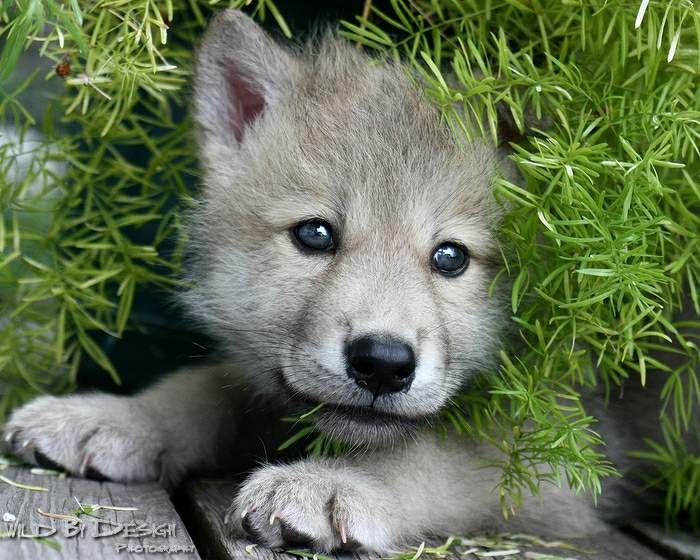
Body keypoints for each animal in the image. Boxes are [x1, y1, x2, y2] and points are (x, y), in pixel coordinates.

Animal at [3, 10, 663, 553]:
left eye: (451, 257)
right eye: (316, 234)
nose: (383, 364)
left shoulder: (565, 452)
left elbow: (426, 452)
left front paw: (332, 484)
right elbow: (207, 385)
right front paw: (114, 418)